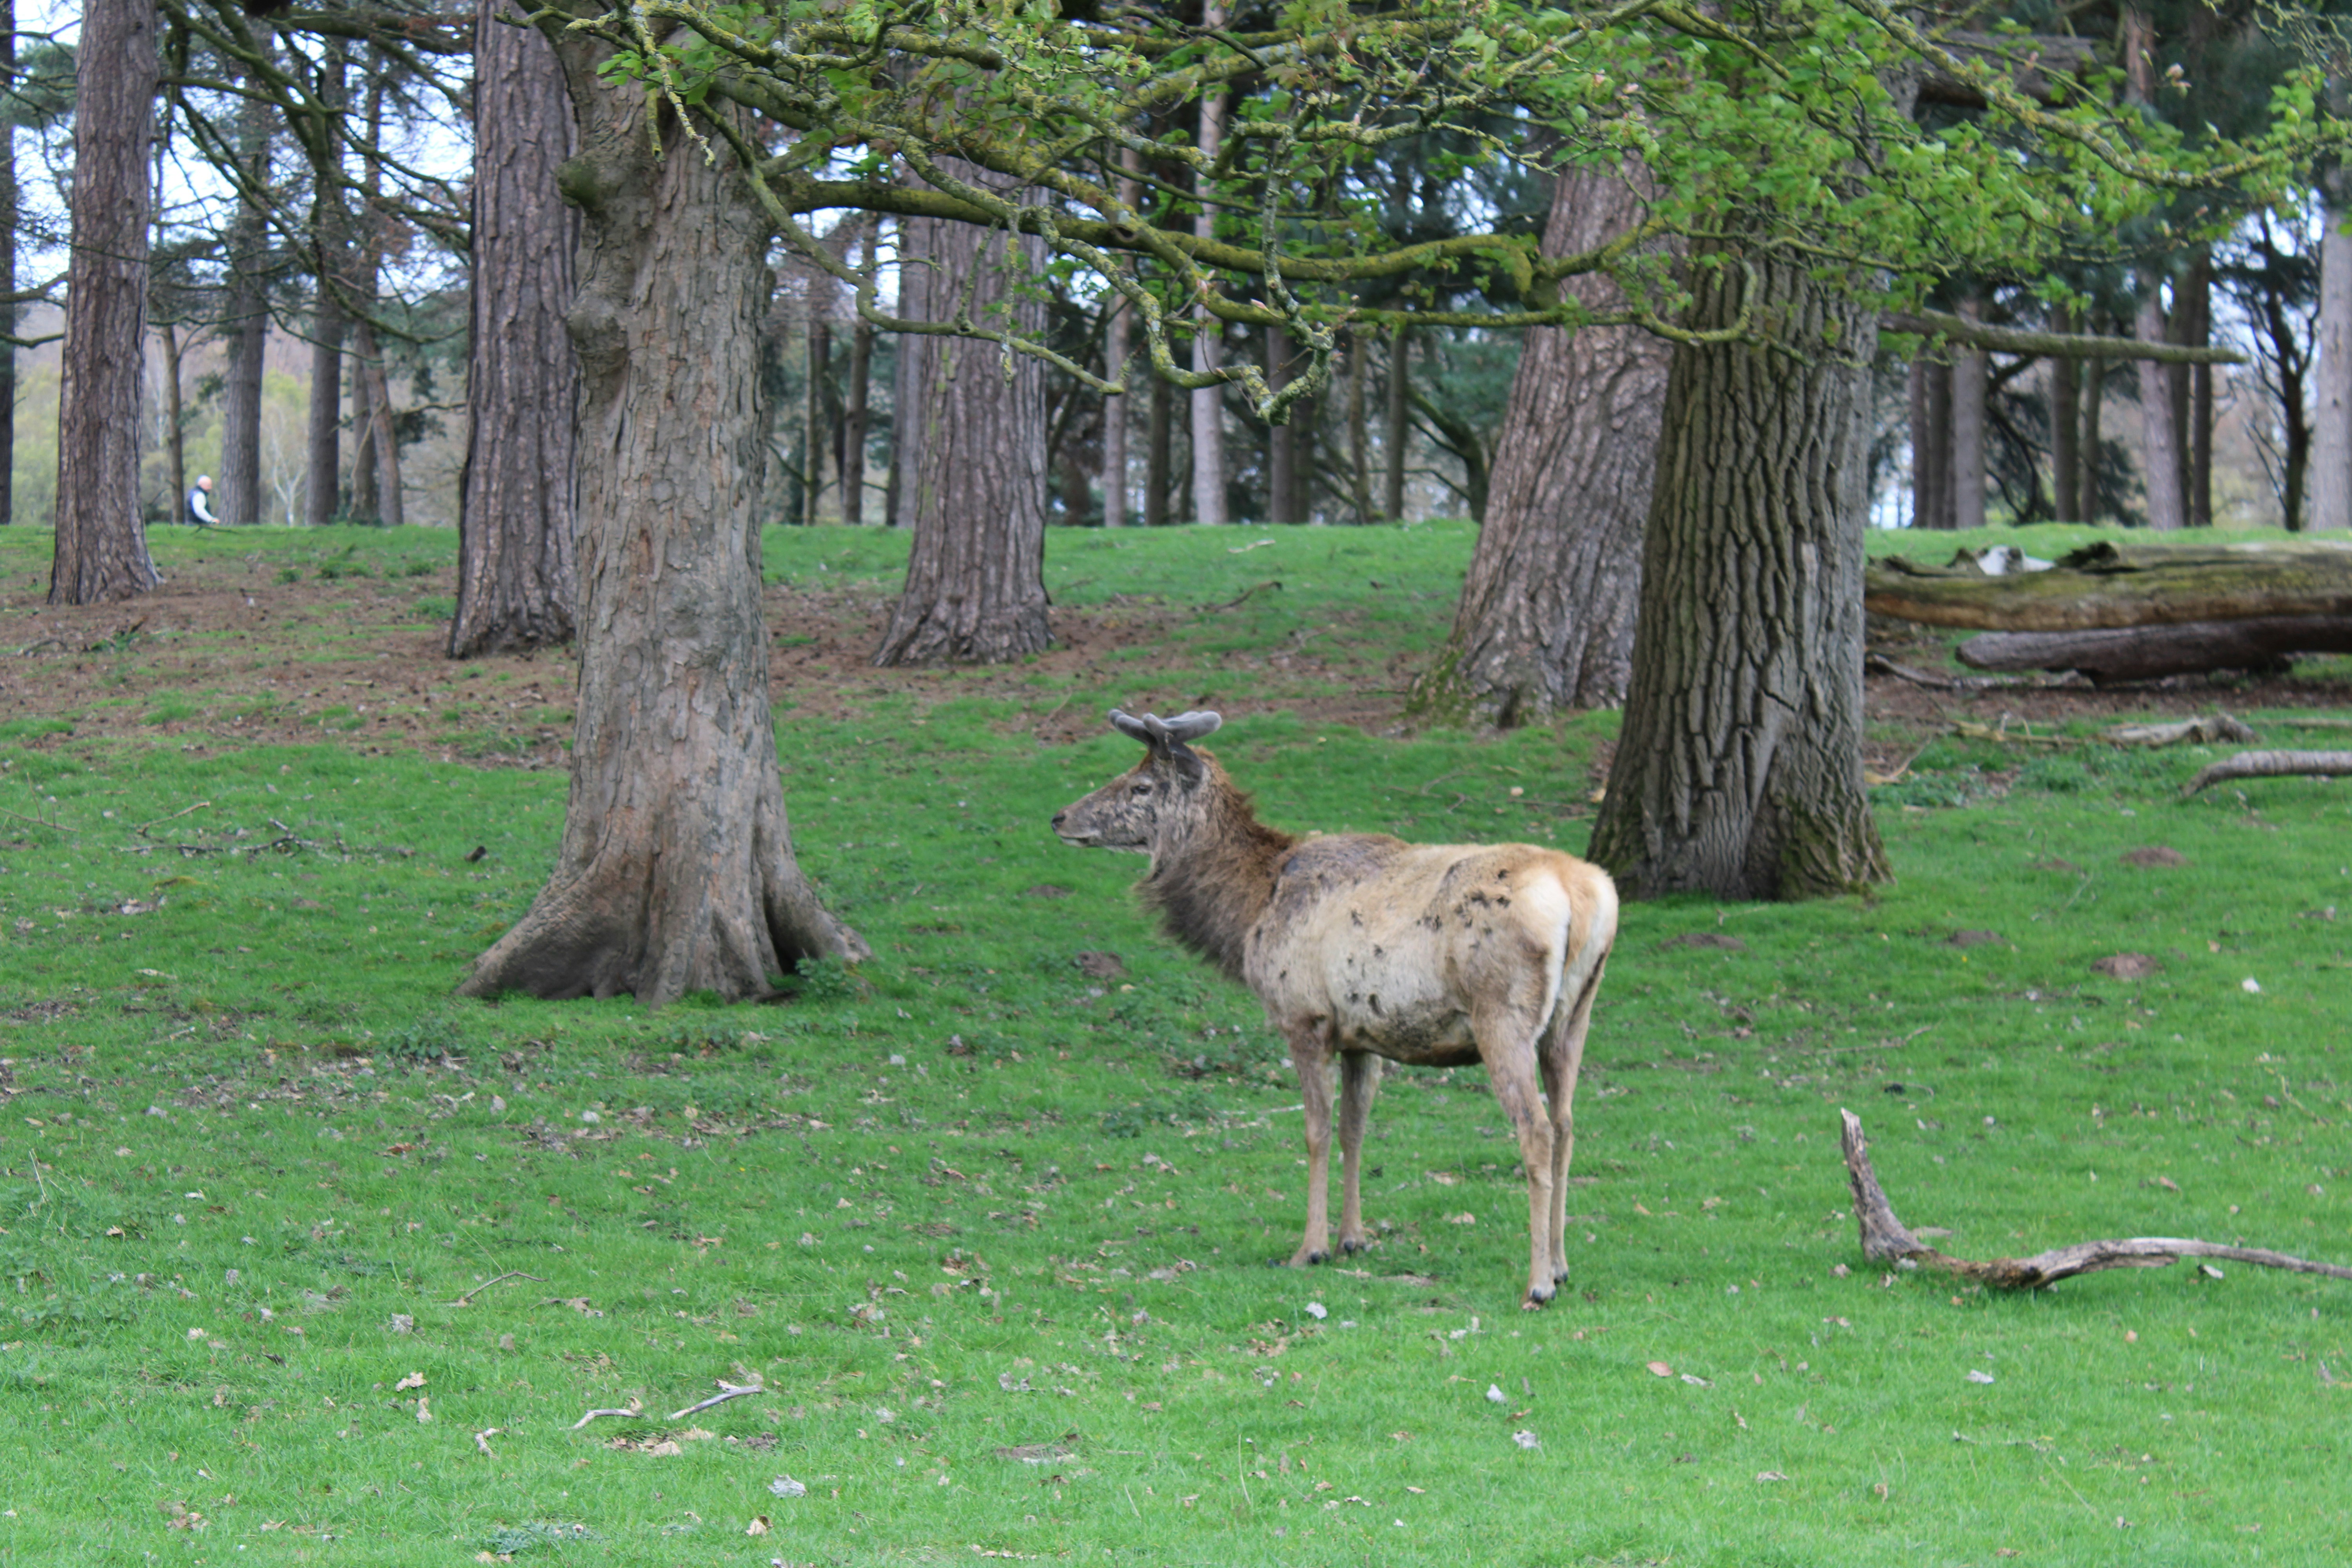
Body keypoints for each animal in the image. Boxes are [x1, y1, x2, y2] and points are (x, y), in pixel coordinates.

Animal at [1052, 710, 1618, 1307]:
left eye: (1140, 785)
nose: (1060, 816)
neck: (1249, 911)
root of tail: (1586, 896)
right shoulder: (1361, 1037)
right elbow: (1355, 1128)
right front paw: (1353, 1238)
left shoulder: (1304, 1017)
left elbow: (1315, 1131)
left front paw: (1311, 1248)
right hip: (1573, 1019)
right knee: (1567, 1125)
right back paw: (1561, 1263)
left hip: (1502, 1014)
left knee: (1535, 1130)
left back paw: (1538, 1281)